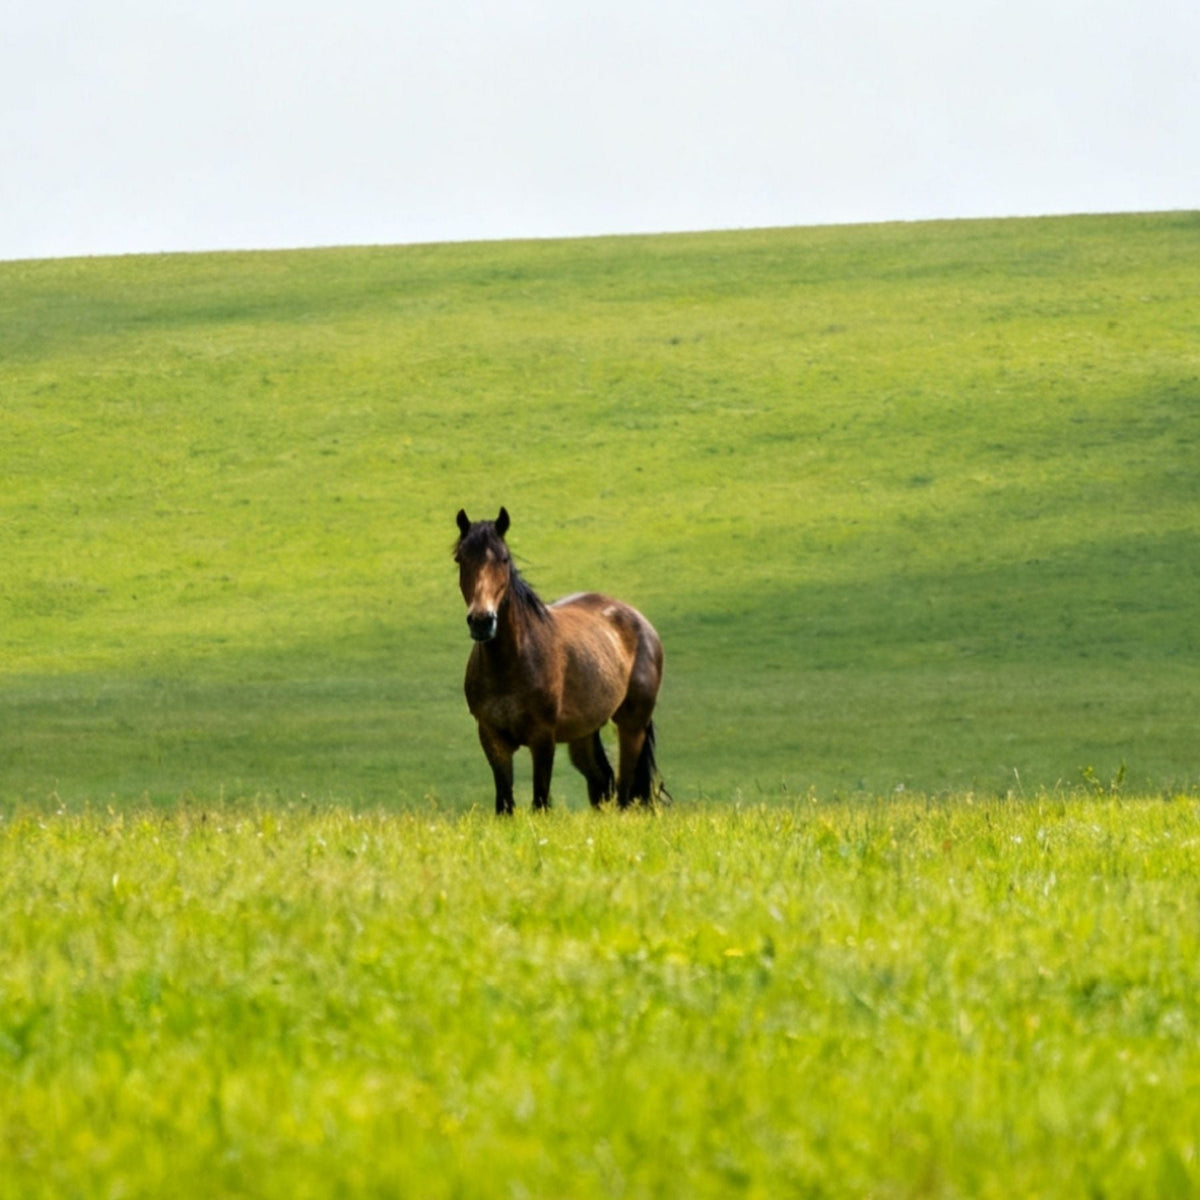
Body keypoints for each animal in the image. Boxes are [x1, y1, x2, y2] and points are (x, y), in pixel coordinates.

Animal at [454, 507, 665, 814]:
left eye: (504, 558)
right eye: (461, 559)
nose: (482, 621)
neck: (511, 663)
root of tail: (640, 621)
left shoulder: (543, 738)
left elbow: (540, 801)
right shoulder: (492, 738)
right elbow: (504, 804)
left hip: (631, 725)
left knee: (624, 790)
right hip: (583, 734)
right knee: (603, 781)